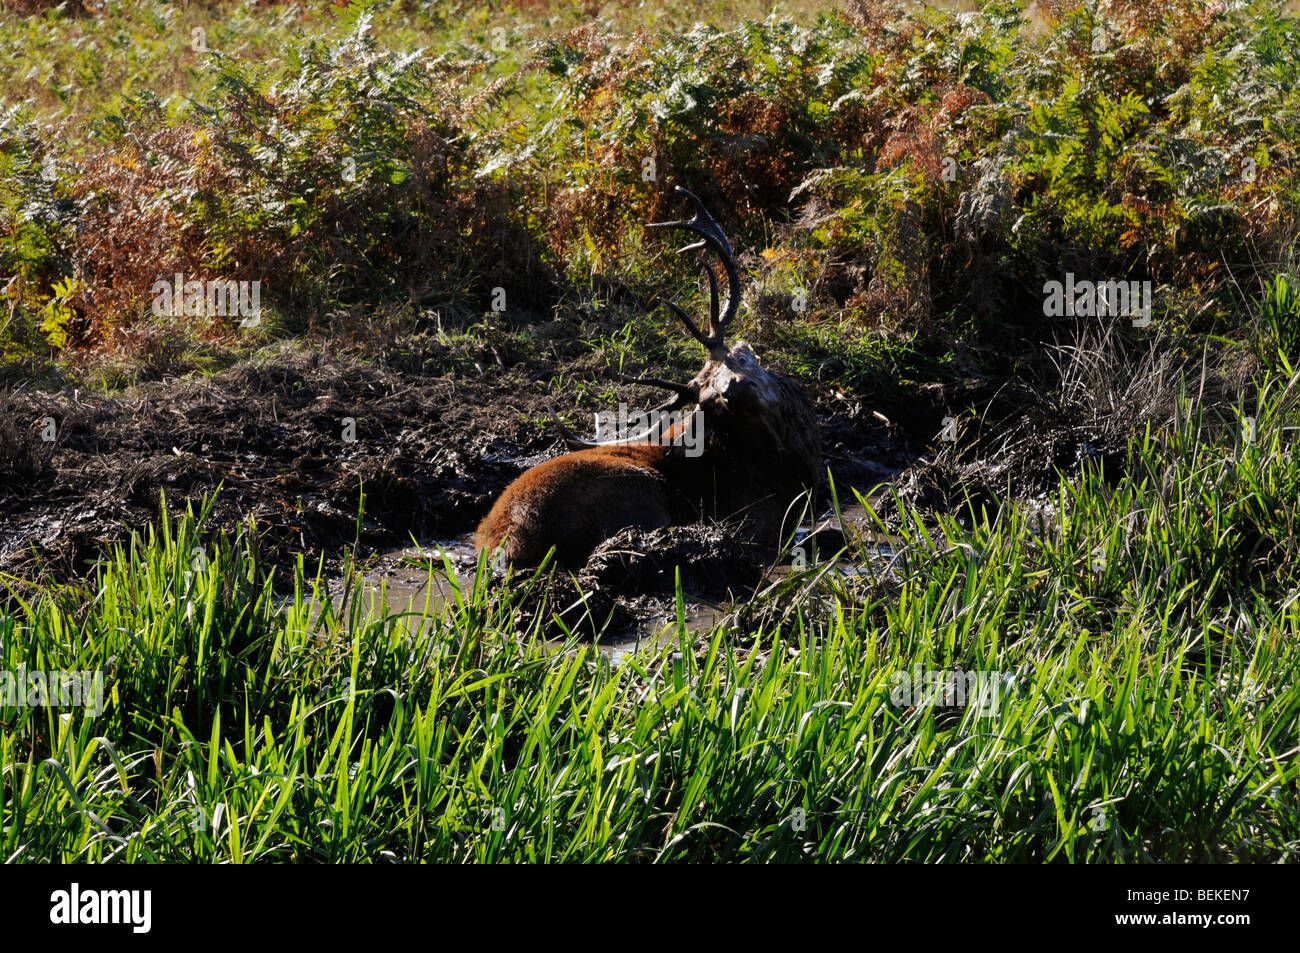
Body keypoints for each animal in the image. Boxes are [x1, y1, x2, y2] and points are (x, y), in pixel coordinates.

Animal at [475, 186, 821, 569]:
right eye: (708, 399)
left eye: (740, 359)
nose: (731, 389)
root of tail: (505, 543)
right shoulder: (759, 514)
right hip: (640, 491)